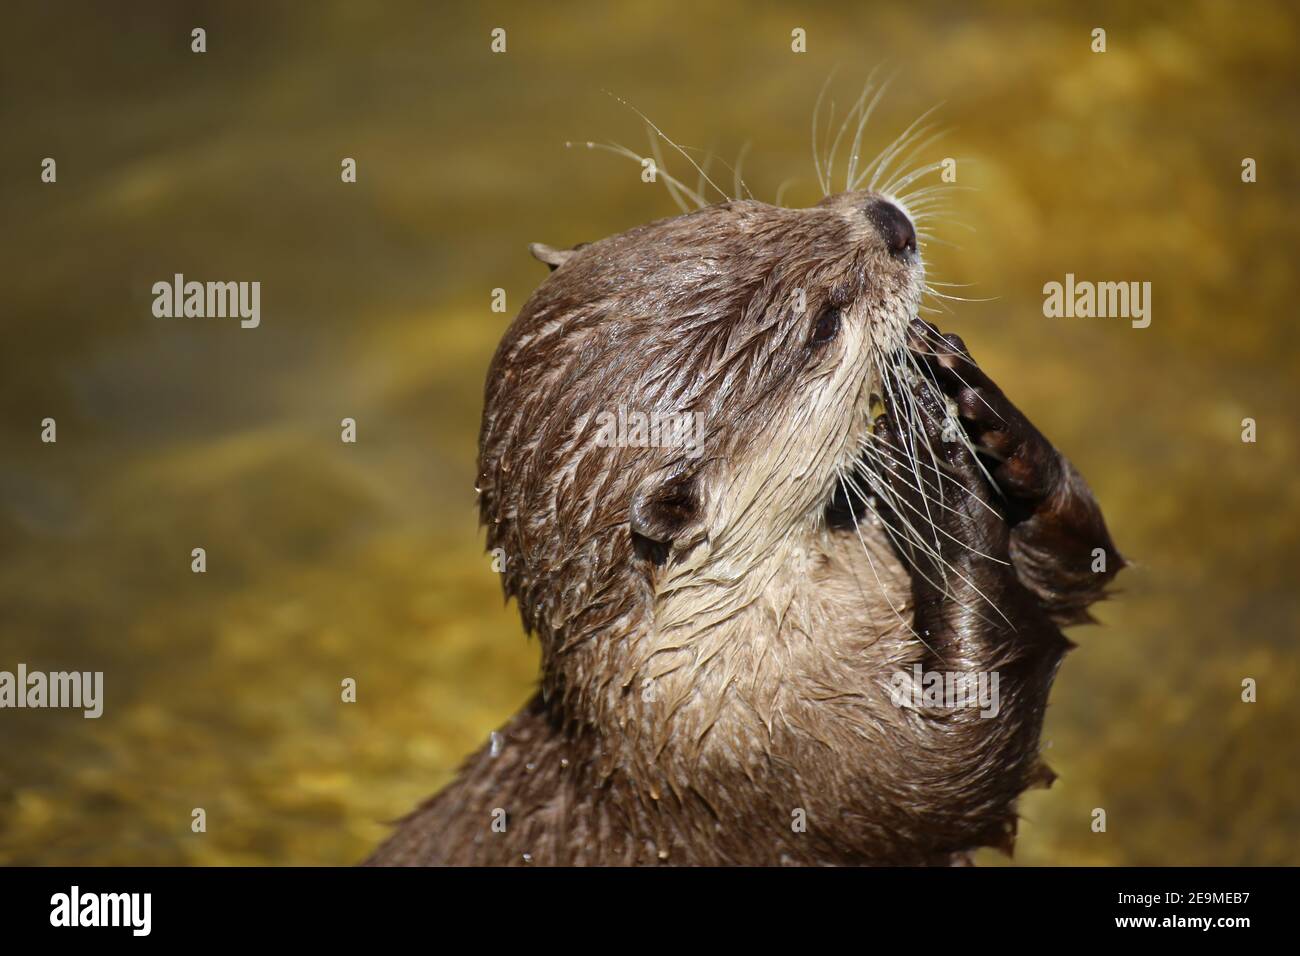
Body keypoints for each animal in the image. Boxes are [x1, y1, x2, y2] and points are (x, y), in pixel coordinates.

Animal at [367, 187, 1122, 866]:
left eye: (753, 208)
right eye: (825, 325)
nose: (888, 221)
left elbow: (1076, 571)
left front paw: (986, 417)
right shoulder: (800, 778)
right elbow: (956, 765)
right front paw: (941, 488)